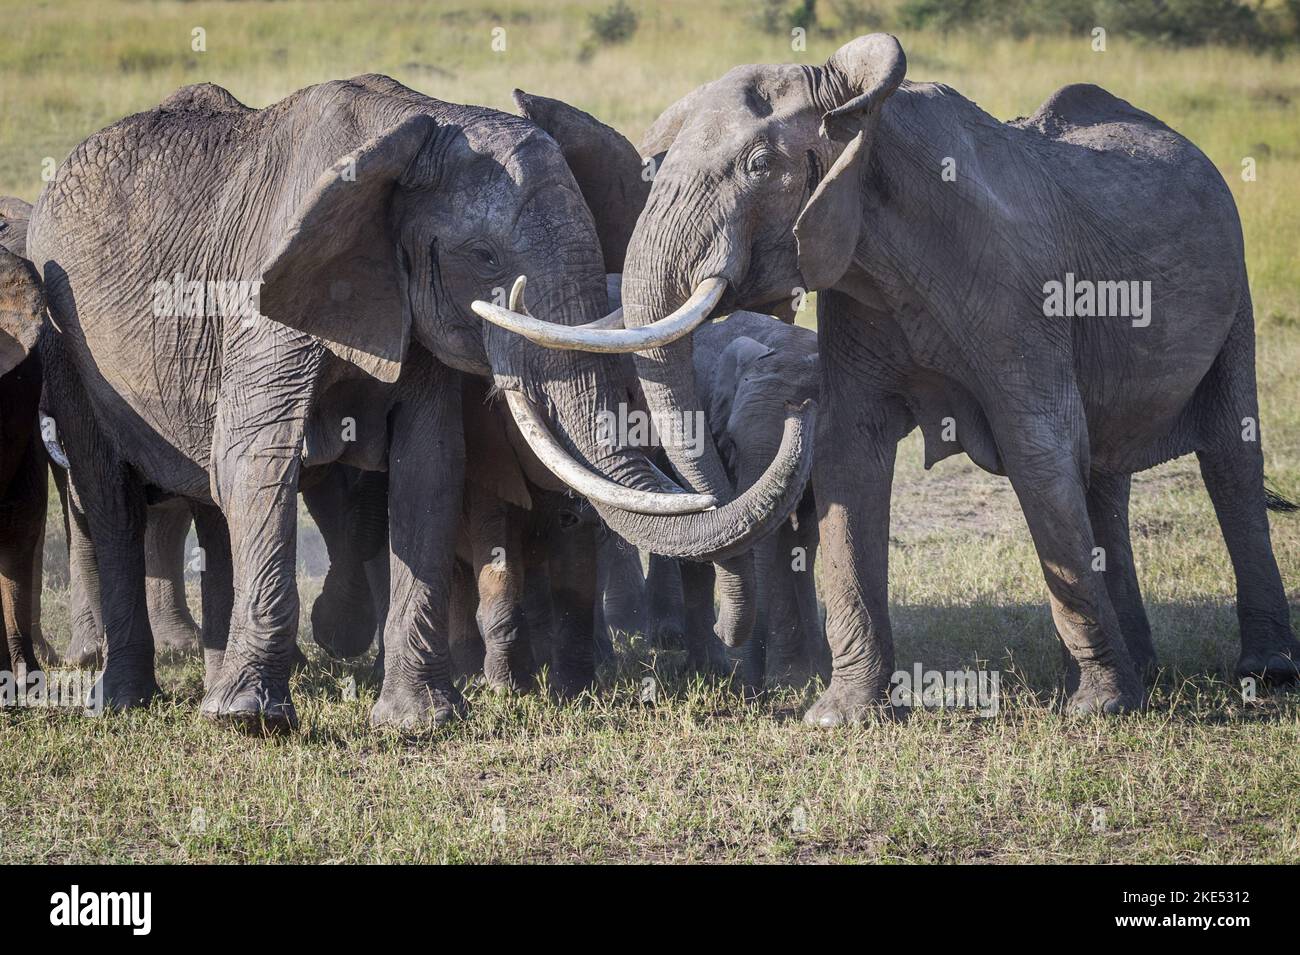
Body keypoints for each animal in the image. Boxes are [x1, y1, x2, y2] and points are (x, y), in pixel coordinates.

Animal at [28, 76, 809, 730]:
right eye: (486, 259)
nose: (799, 415)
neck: (421, 126)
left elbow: (429, 468)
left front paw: (420, 722)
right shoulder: (265, 295)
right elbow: (257, 456)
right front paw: (253, 722)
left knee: (211, 507)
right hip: (65, 333)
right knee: (112, 498)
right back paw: (128, 701)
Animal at [479, 34, 1298, 725]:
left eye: (758, 167)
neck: (863, 120)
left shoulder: (1018, 295)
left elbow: (1037, 451)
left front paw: (1098, 711)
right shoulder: (853, 285)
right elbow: (849, 454)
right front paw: (842, 715)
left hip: (1235, 293)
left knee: (1228, 456)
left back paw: (1259, 672)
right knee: (1105, 476)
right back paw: (1148, 669)